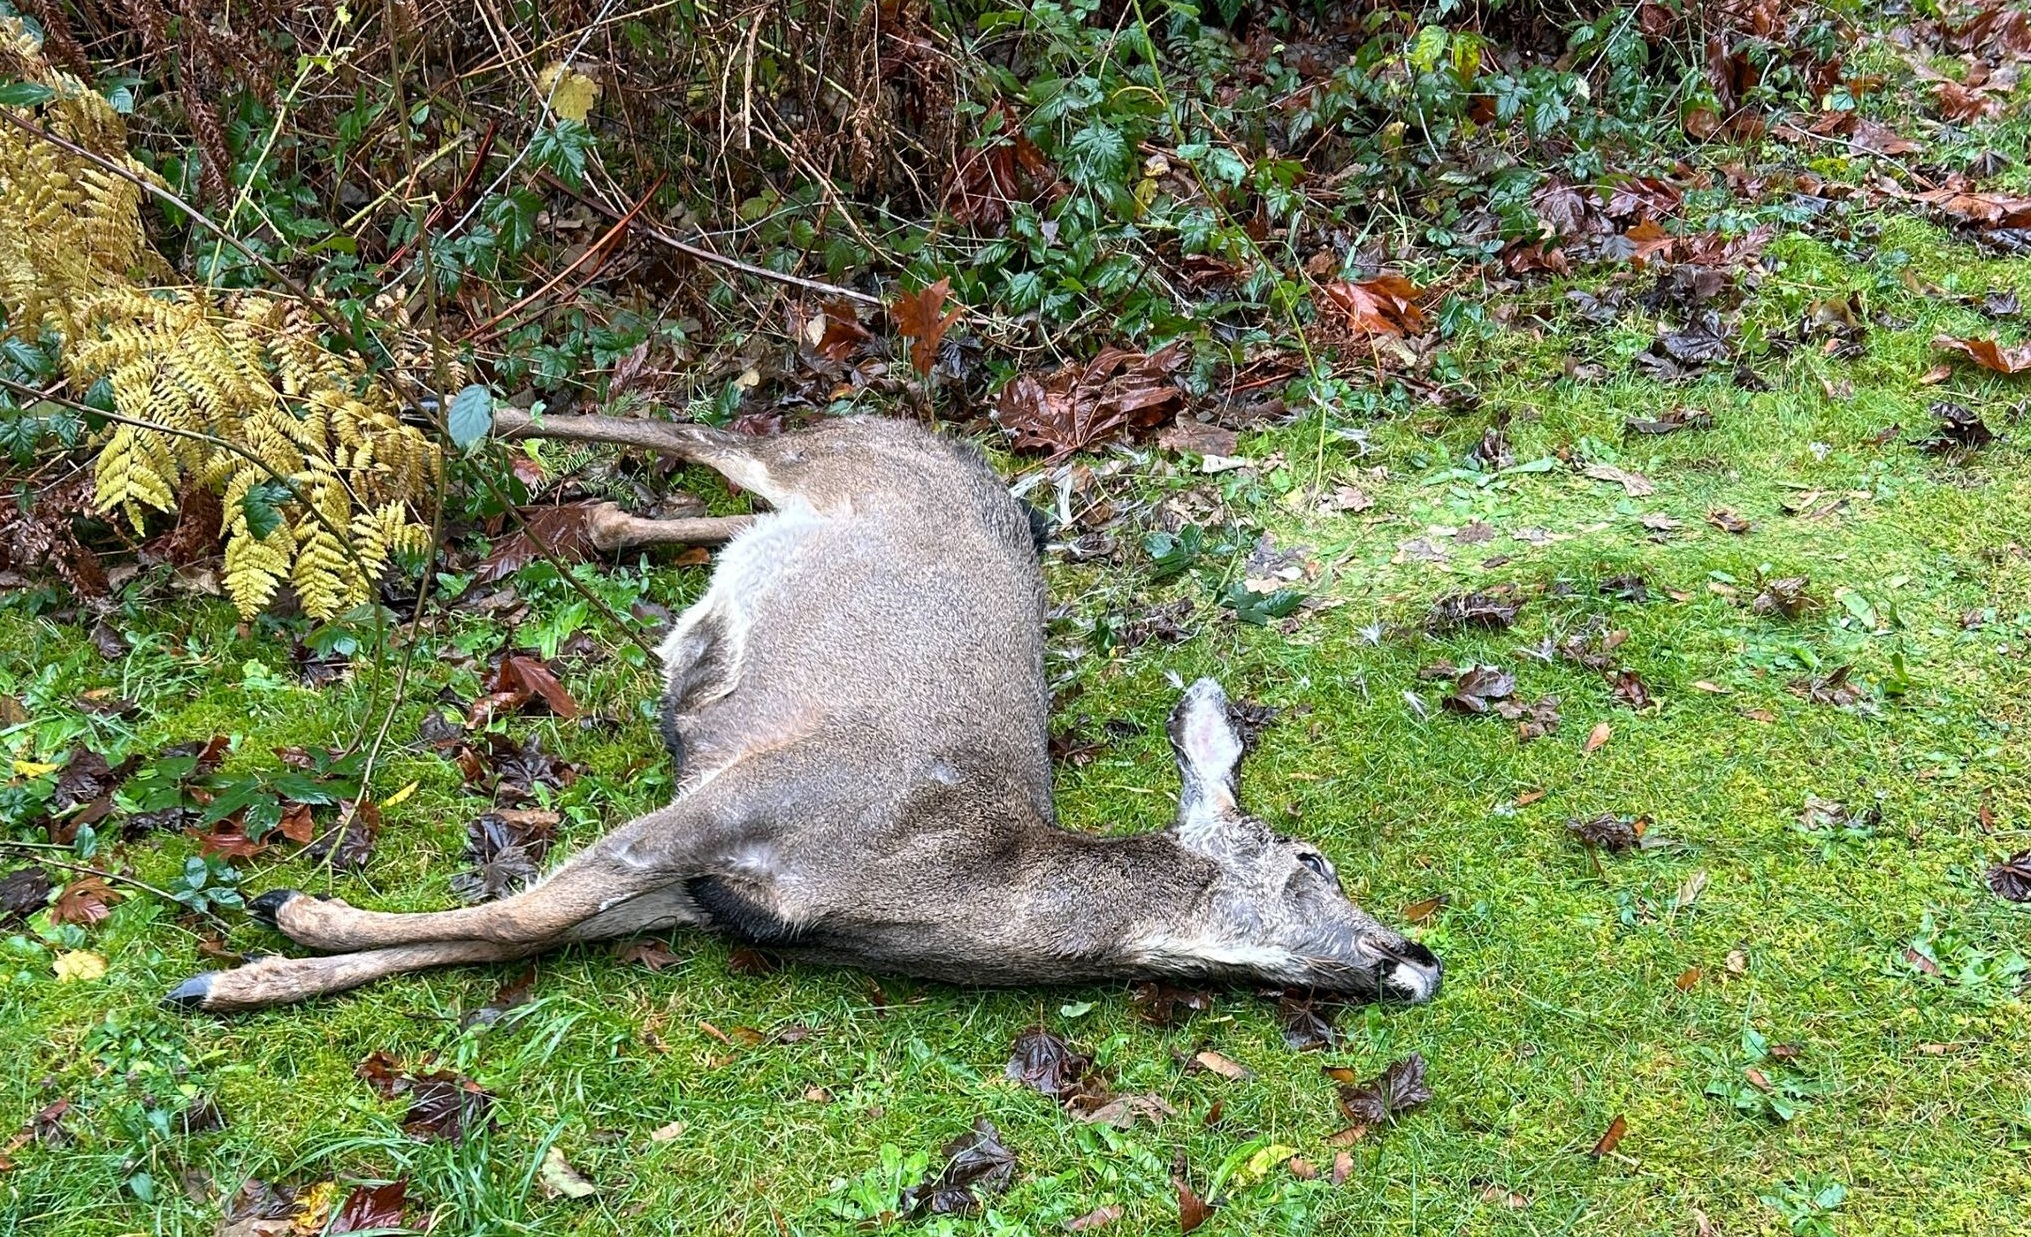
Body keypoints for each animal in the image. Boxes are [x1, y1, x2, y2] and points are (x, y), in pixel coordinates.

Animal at [164, 411, 1441, 1012]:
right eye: (1313, 859)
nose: (1413, 957)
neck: (923, 873)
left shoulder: (704, 897)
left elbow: (504, 934)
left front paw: (238, 974)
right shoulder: (736, 798)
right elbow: (519, 917)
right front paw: (290, 913)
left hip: (809, 499)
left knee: (720, 510)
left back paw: (609, 533)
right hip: (826, 450)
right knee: (704, 433)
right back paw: (481, 409)